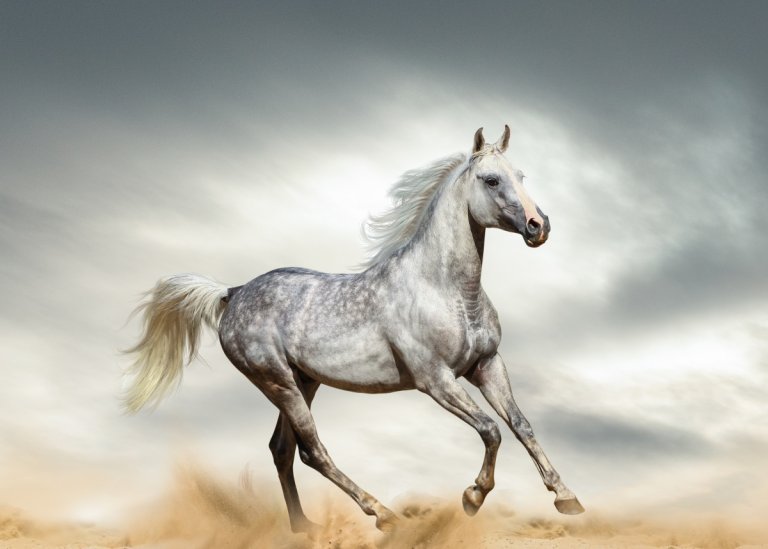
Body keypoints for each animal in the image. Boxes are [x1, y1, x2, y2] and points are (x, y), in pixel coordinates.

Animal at [124, 125, 584, 533]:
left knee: (281, 450)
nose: (539, 226)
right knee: (312, 452)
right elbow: (491, 430)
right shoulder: (435, 380)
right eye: (491, 180)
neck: (446, 289)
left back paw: (303, 527)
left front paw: (567, 498)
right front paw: (472, 497)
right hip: (278, 382)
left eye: (521, 176)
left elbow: (520, 425)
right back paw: (384, 515)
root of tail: (233, 293)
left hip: (303, 381)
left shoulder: (487, 365)